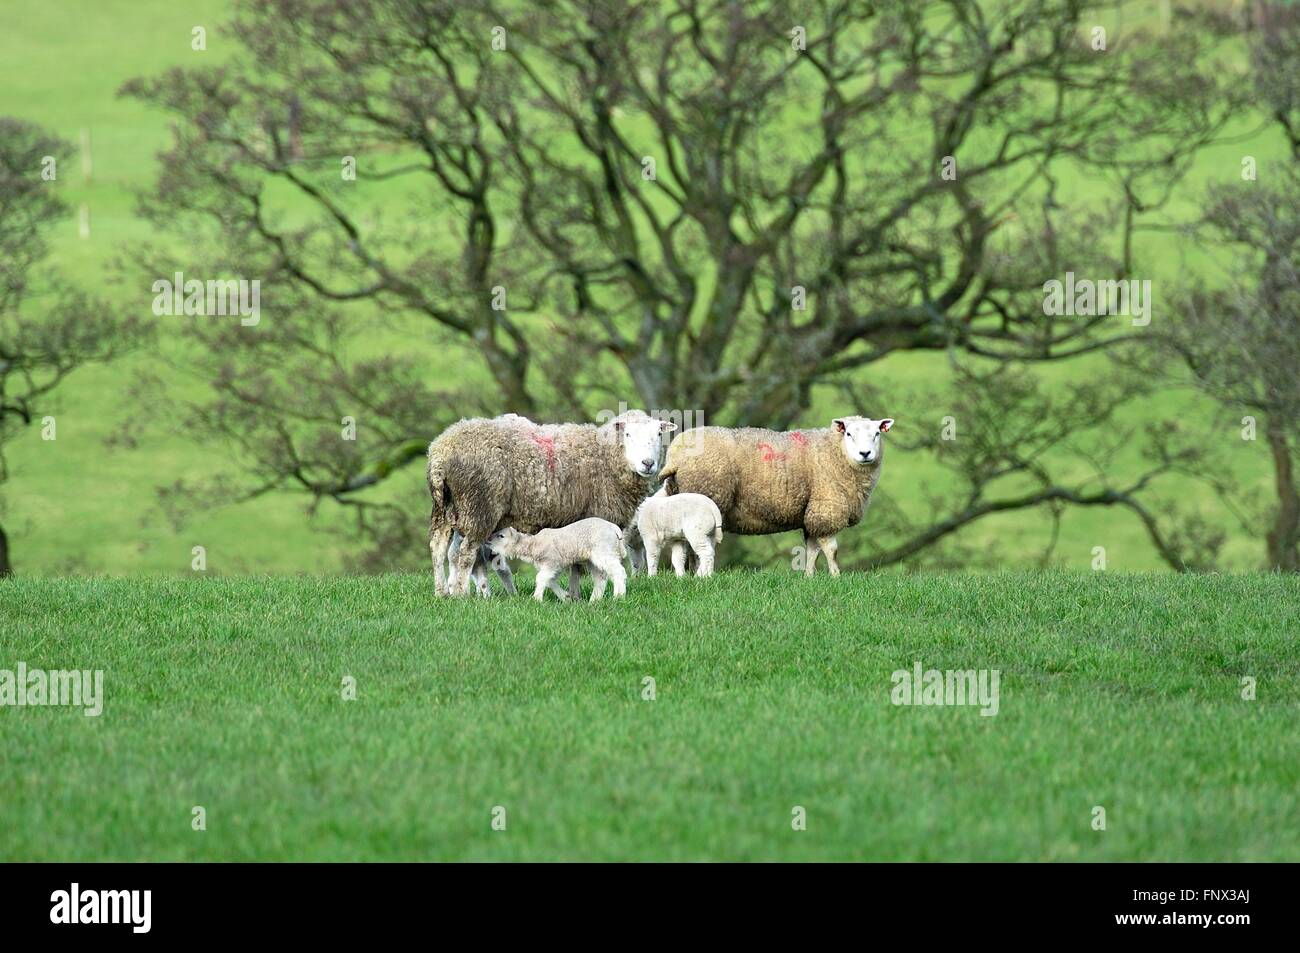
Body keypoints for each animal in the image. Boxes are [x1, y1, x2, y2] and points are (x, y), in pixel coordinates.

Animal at [486, 519, 628, 601]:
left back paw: (618, 597)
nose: (488, 541)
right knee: (600, 578)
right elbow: (549, 580)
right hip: (595, 557)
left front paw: (536, 599)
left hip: (604, 549)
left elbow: (540, 578)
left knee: (618, 571)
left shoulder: (551, 561)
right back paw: (594, 601)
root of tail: (615, 528)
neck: (533, 545)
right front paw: (566, 597)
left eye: (501, 536)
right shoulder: (555, 565)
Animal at [658, 416, 894, 576]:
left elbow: (812, 550)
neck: (835, 453)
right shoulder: (825, 508)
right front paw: (836, 576)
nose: (865, 454)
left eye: (877, 433)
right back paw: (702, 574)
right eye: (848, 434)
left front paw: (810, 577)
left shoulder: (811, 513)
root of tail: (675, 455)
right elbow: (831, 549)